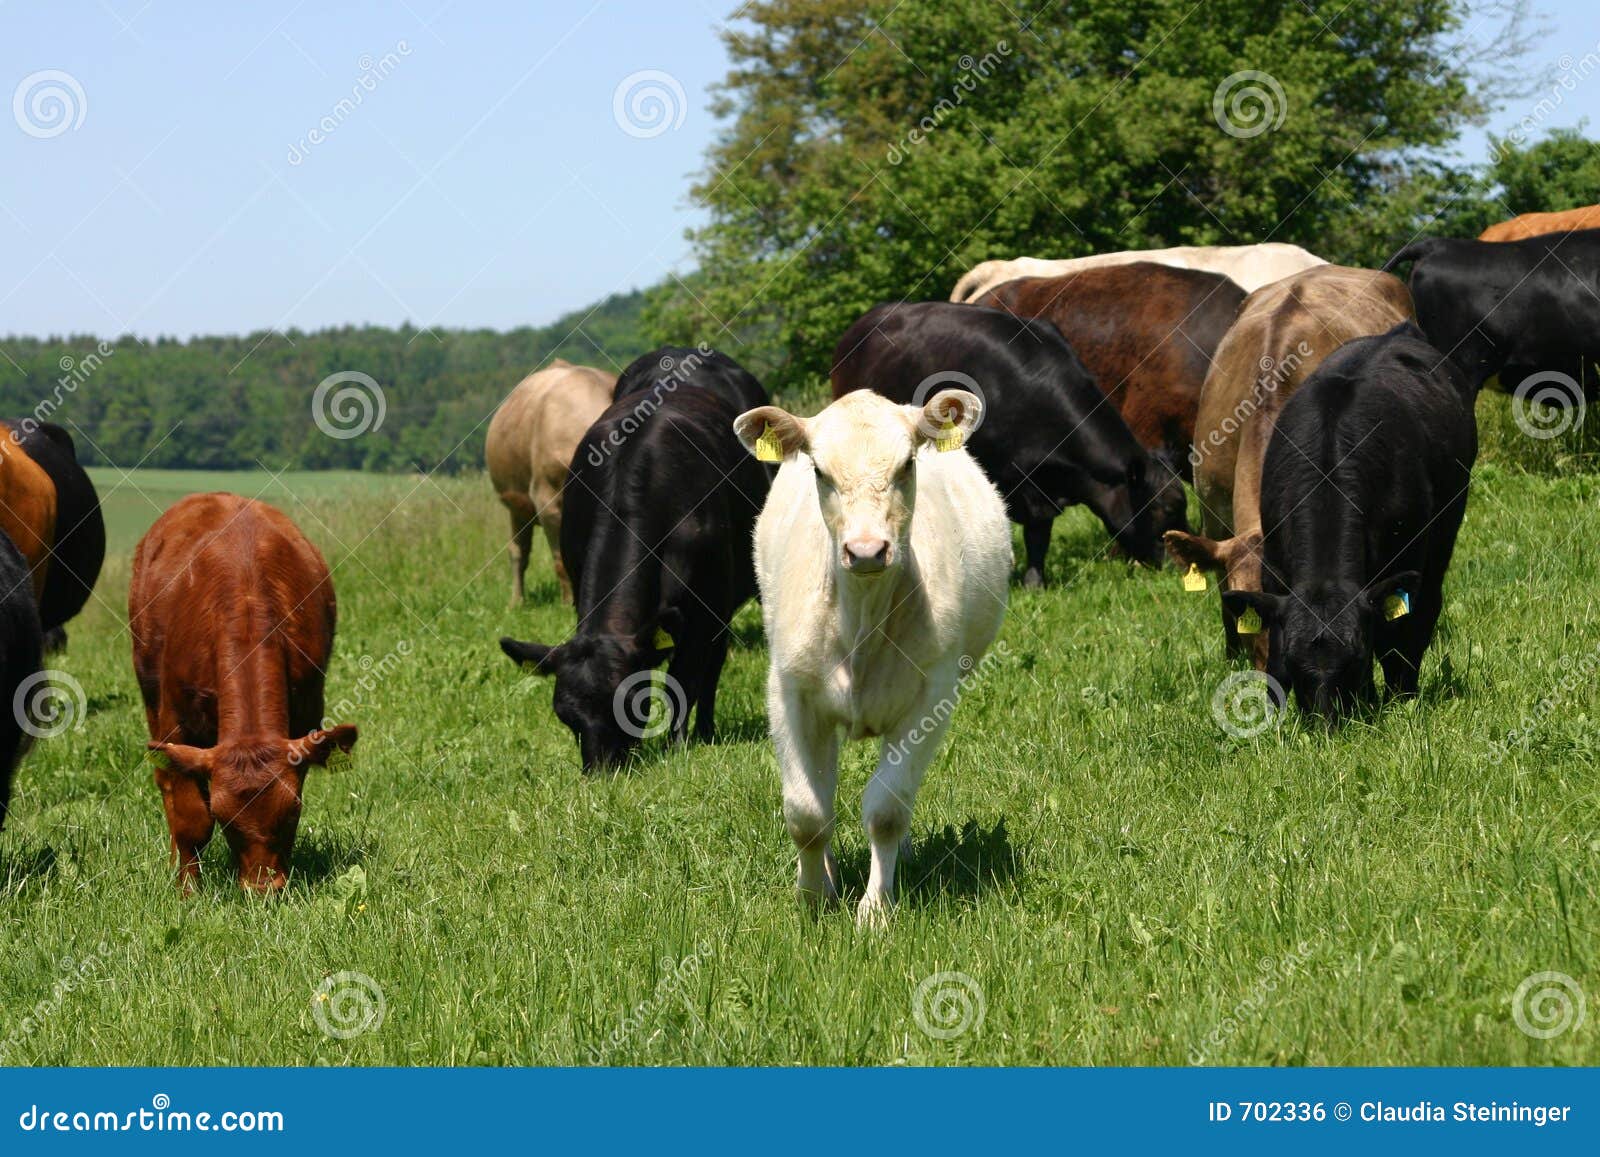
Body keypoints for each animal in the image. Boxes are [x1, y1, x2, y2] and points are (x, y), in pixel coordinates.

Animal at [130, 494, 358, 892]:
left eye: (293, 811)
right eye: (225, 819)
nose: (263, 888)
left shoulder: (308, 712)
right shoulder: (175, 718)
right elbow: (191, 817)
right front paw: (188, 891)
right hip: (150, 692)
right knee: (166, 781)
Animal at [486, 358, 617, 606]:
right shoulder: (547, 501)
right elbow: (560, 561)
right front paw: (567, 604)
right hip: (517, 504)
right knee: (518, 552)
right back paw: (516, 602)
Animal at [732, 388, 1010, 924]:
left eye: (907, 464)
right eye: (819, 470)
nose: (865, 550)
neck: (861, 618)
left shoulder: (932, 696)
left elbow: (886, 809)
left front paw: (876, 910)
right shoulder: (788, 692)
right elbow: (807, 811)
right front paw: (813, 897)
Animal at [1220, 323, 1475, 722]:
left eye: (1355, 660)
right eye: (1295, 663)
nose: (1326, 724)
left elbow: (1395, 641)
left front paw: (1393, 703)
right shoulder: (1273, 569)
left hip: (1441, 541)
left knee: (1425, 612)